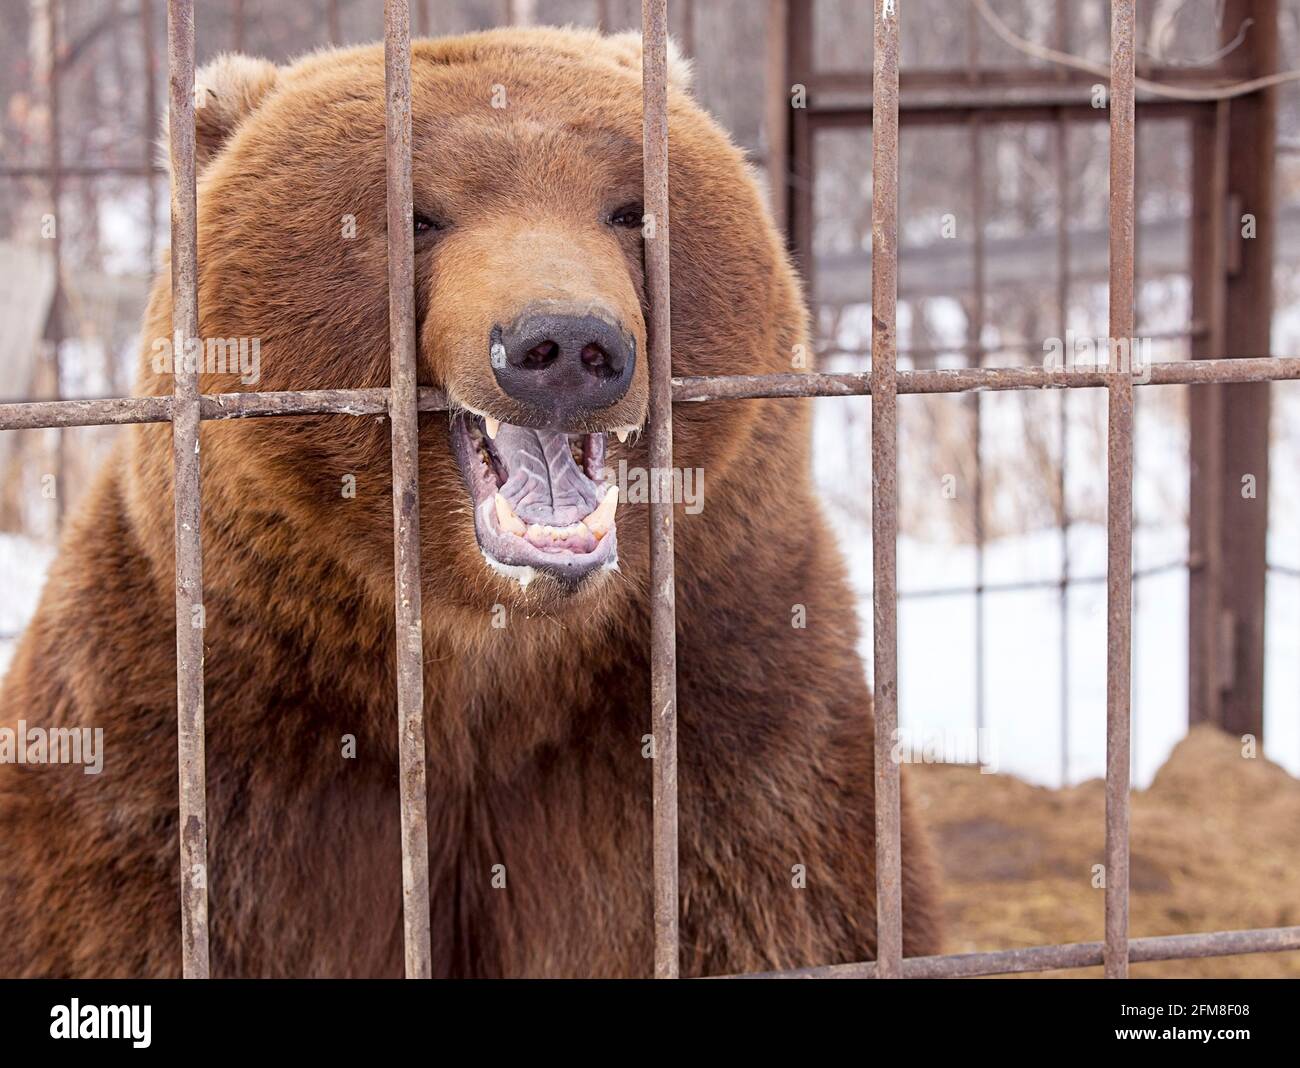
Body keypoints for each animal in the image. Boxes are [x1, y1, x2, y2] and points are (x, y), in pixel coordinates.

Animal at [0, 27, 940, 978]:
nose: (564, 345)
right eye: (417, 216)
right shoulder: (180, 746)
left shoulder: (733, 724)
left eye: (628, 209)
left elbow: (782, 893)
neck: (484, 662)